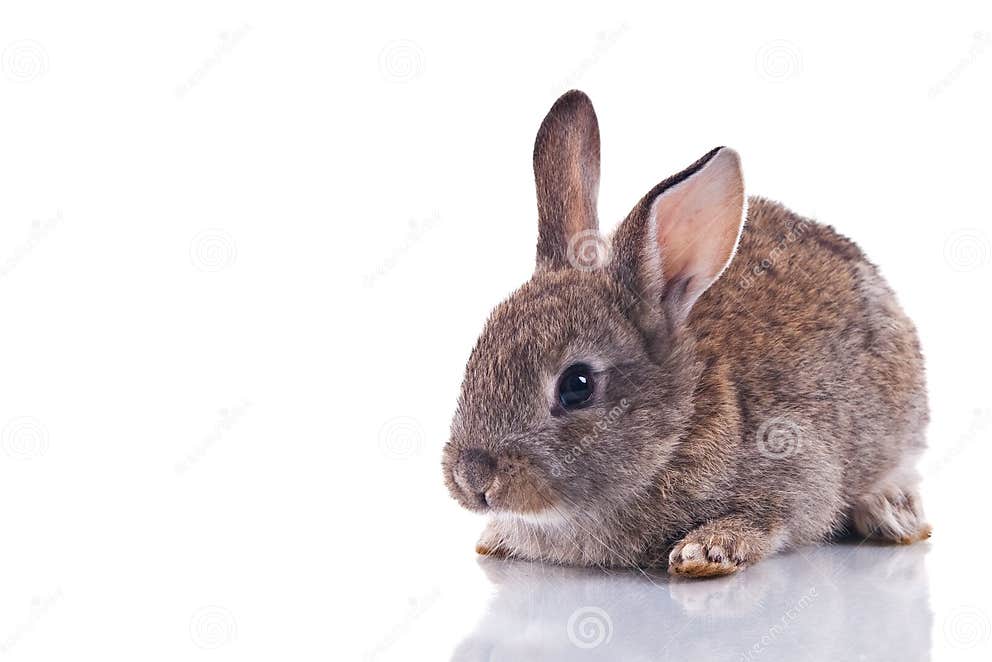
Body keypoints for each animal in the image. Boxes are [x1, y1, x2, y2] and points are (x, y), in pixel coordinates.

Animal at [441, 90, 930, 578]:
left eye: (577, 386)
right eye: (474, 359)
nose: (473, 479)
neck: (680, 427)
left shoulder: (798, 464)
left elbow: (775, 516)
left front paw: (706, 551)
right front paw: (495, 539)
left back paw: (892, 513)